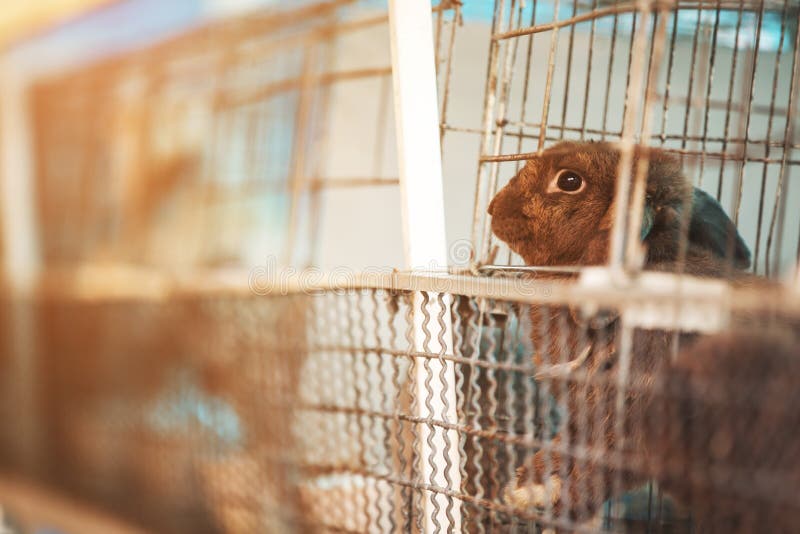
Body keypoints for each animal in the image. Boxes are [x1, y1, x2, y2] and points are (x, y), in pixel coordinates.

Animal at [486, 141, 752, 524]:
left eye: (569, 180)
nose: (493, 208)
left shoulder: (632, 424)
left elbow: (601, 470)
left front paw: (553, 503)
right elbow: (568, 443)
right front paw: (528, 483)